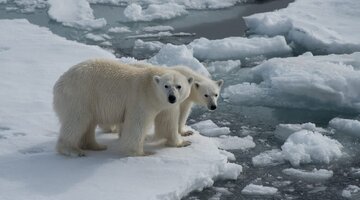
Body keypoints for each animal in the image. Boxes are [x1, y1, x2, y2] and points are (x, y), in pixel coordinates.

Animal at [52, 58, 193, 157]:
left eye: (179, 86)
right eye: (166, 86)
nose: (172, 98)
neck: (150, 86)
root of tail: (59, 83)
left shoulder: (166, 106)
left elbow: (167, 123)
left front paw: (183, 142)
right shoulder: (141, 98)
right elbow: (136, 124)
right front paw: (142, 153)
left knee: (88, 123)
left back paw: (96, 146)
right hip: (79, 95)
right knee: (76, 121)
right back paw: (73, 150)